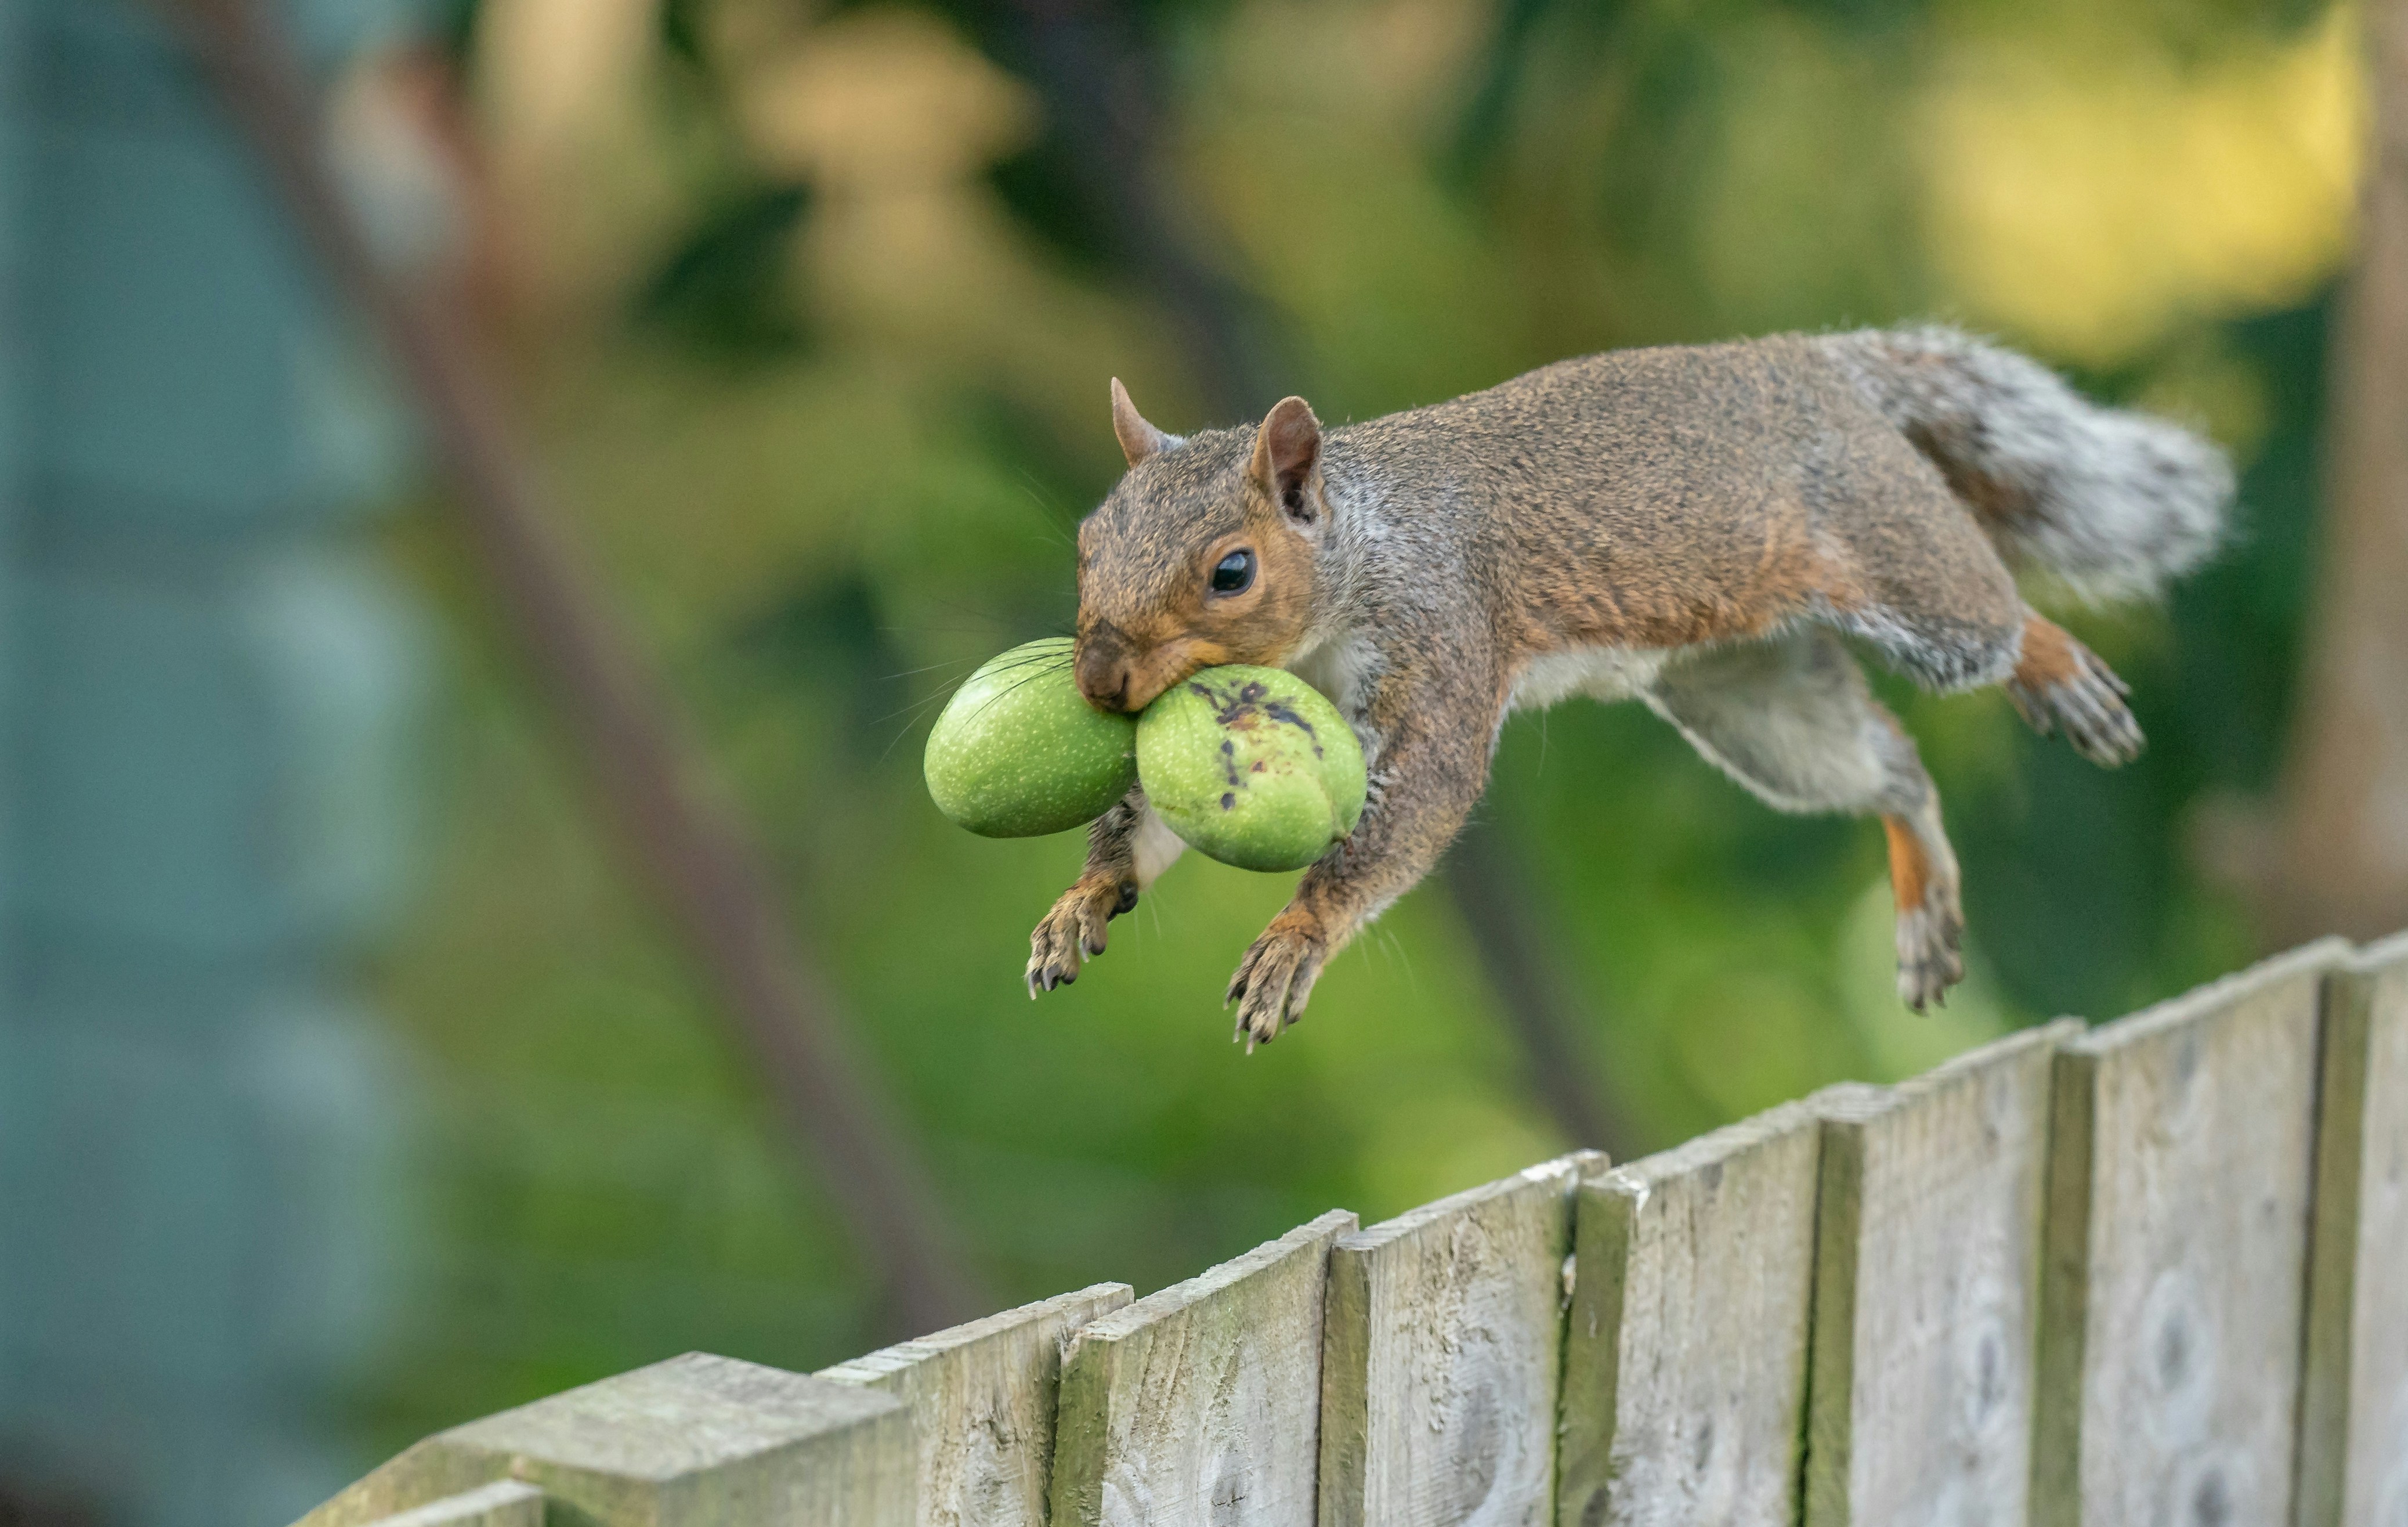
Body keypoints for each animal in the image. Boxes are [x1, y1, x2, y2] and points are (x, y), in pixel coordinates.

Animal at [1026, 327, 2231, 1046]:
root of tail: (1817, 365)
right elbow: (1142, 822)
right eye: (1087, 542)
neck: (1354, 563)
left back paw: (2059, 674)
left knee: (1993, 621)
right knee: (1893, 769)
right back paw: (1924, 888)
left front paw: (1297, 938)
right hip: (1749, 696)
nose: (1099, 679)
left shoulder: (1442, 642)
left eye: (1232, 572)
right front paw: (1084, 899)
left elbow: (1413, 808)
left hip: (1903, 564)